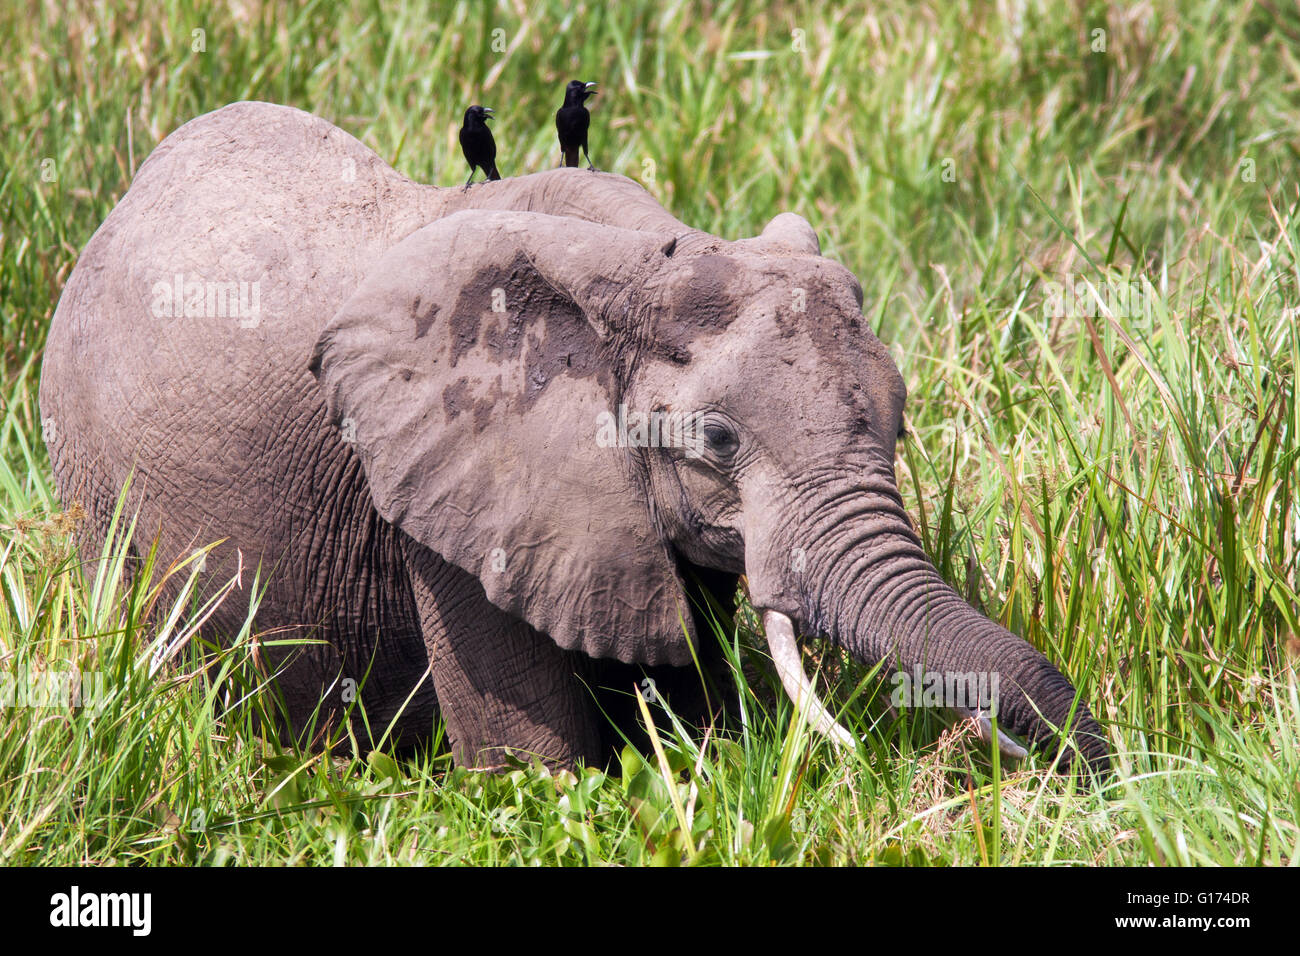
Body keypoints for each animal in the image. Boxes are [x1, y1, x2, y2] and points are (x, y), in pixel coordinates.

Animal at [39, 101, 1109, 773]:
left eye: (898, 423)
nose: (1081, 768)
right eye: (716, 441)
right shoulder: (455, 488)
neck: (638, 262)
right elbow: (532, 766)